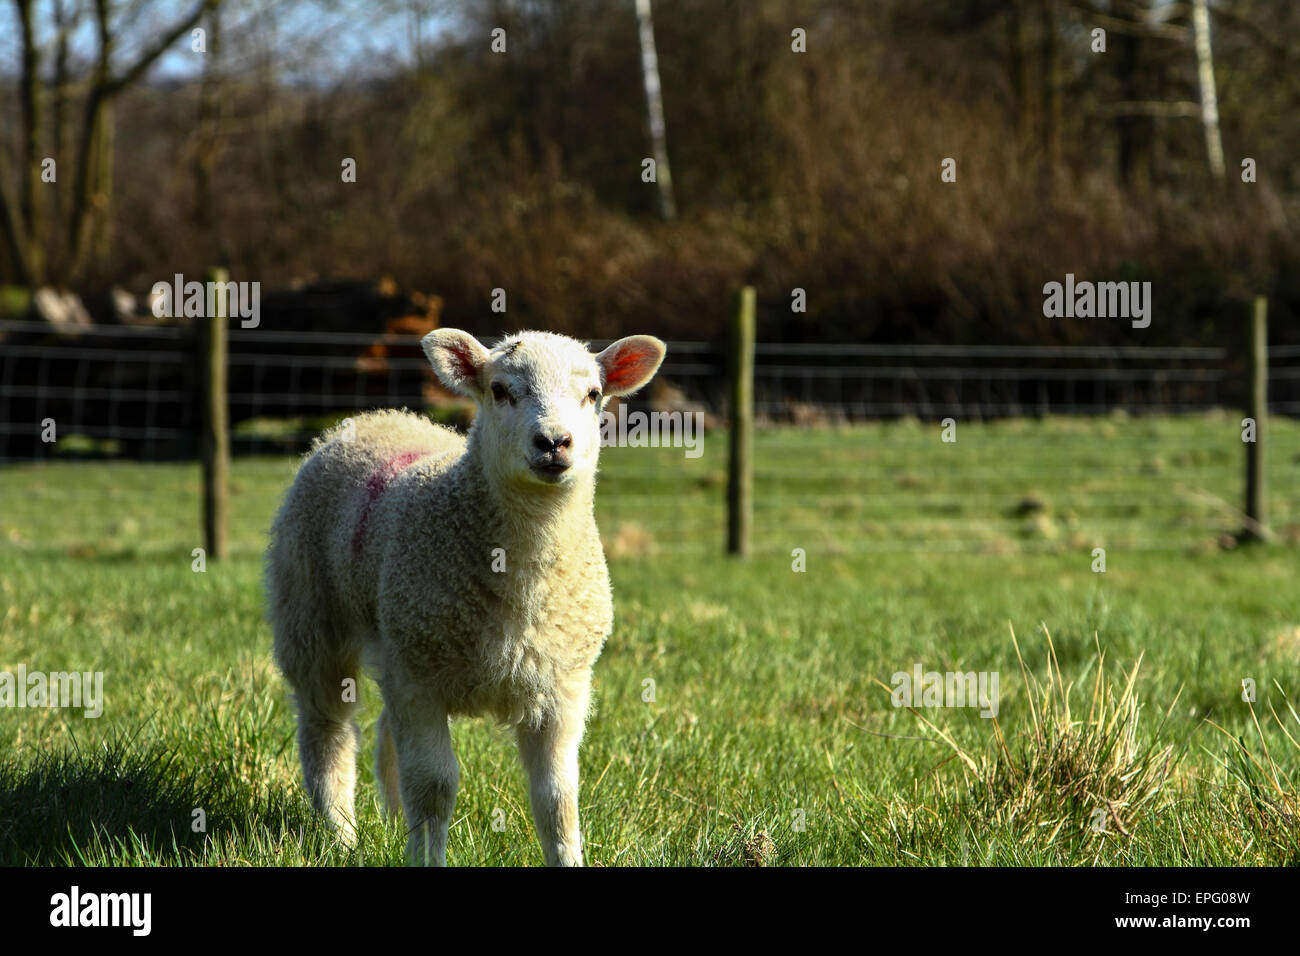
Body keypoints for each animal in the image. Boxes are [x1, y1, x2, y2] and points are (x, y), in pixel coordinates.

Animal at [265, 328, 666, 866]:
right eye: (500, 391)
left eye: (593, 394)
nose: (554, 442)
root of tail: (372, 418)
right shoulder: (420, 680)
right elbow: (435, 785)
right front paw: (427, 856)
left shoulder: (563, 685)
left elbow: (558, 797)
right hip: (313, 620)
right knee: (327, 730)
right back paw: (340, 834)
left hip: (395, 644)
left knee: (386, 736)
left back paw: (394, 825)